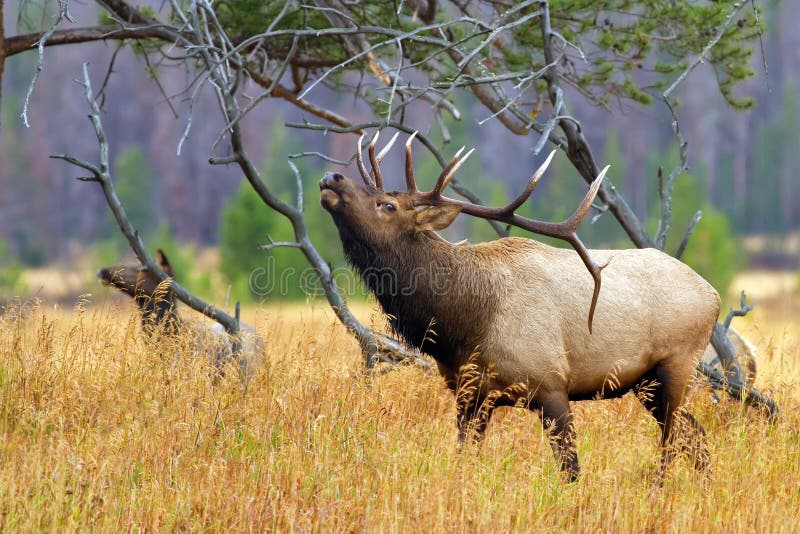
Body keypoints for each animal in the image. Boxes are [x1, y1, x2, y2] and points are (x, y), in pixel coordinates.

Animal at [320, 131, 721, 481]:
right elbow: (465, 459)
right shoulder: (470, 394)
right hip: (645, 383)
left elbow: (570, 469)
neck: (462, 326)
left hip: (678, 364)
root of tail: (714, 296)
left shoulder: (551, 383)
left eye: (387, 205)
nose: (331, 177)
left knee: (672, 441)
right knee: (696, 436)